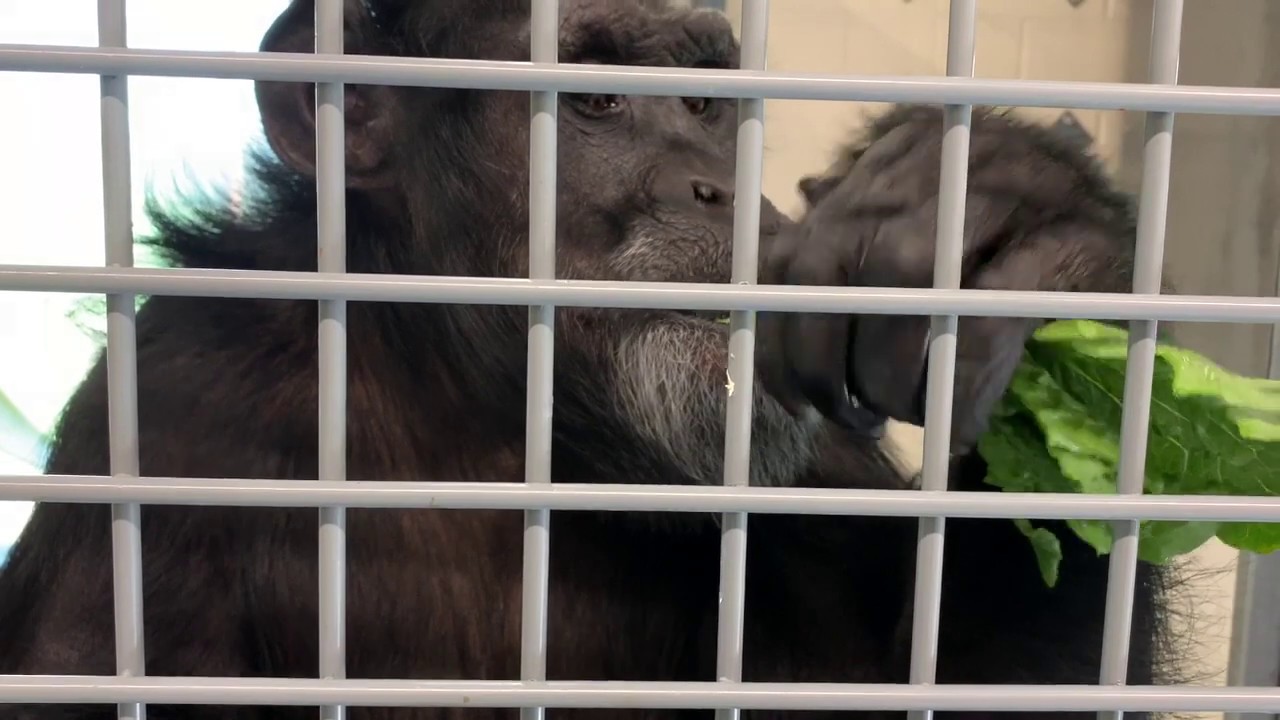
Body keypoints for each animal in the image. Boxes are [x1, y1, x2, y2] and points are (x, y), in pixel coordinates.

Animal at [0, 2, 1175, 719]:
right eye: (599, 95)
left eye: (705, 102)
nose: (717, 188)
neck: (481, 413)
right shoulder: (174, 411)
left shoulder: (819, 455)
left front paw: (1032, 237)